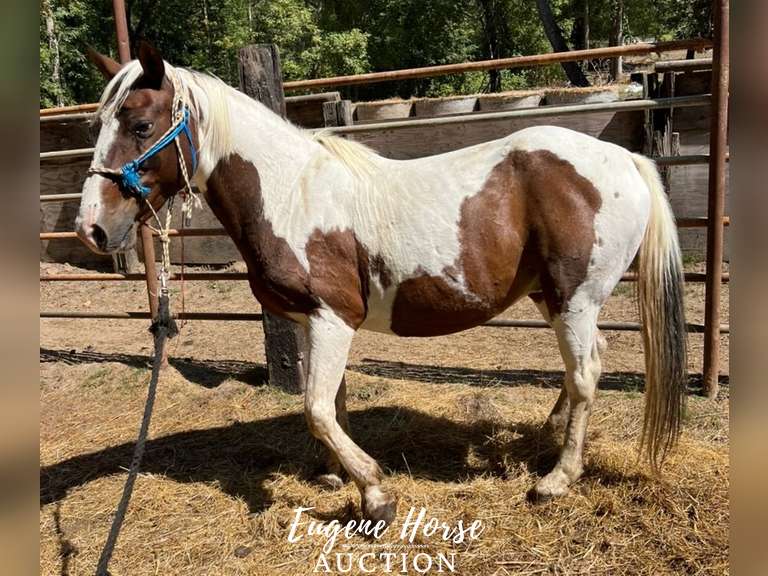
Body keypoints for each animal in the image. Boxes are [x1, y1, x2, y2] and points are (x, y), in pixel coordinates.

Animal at [75, 43, 687, 524]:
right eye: (99, 126)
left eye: (140, 126)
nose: (92, 229)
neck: (290, 194)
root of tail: (625, 158)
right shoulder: (312, 323)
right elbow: (333, 403)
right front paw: (332, 476)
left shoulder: (332, 319)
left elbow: (317, 409)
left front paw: (374, 494)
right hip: (553, 297)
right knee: (587, 362)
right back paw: (548, 435)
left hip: (574, 297)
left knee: (586, 374)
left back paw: (557, 479)